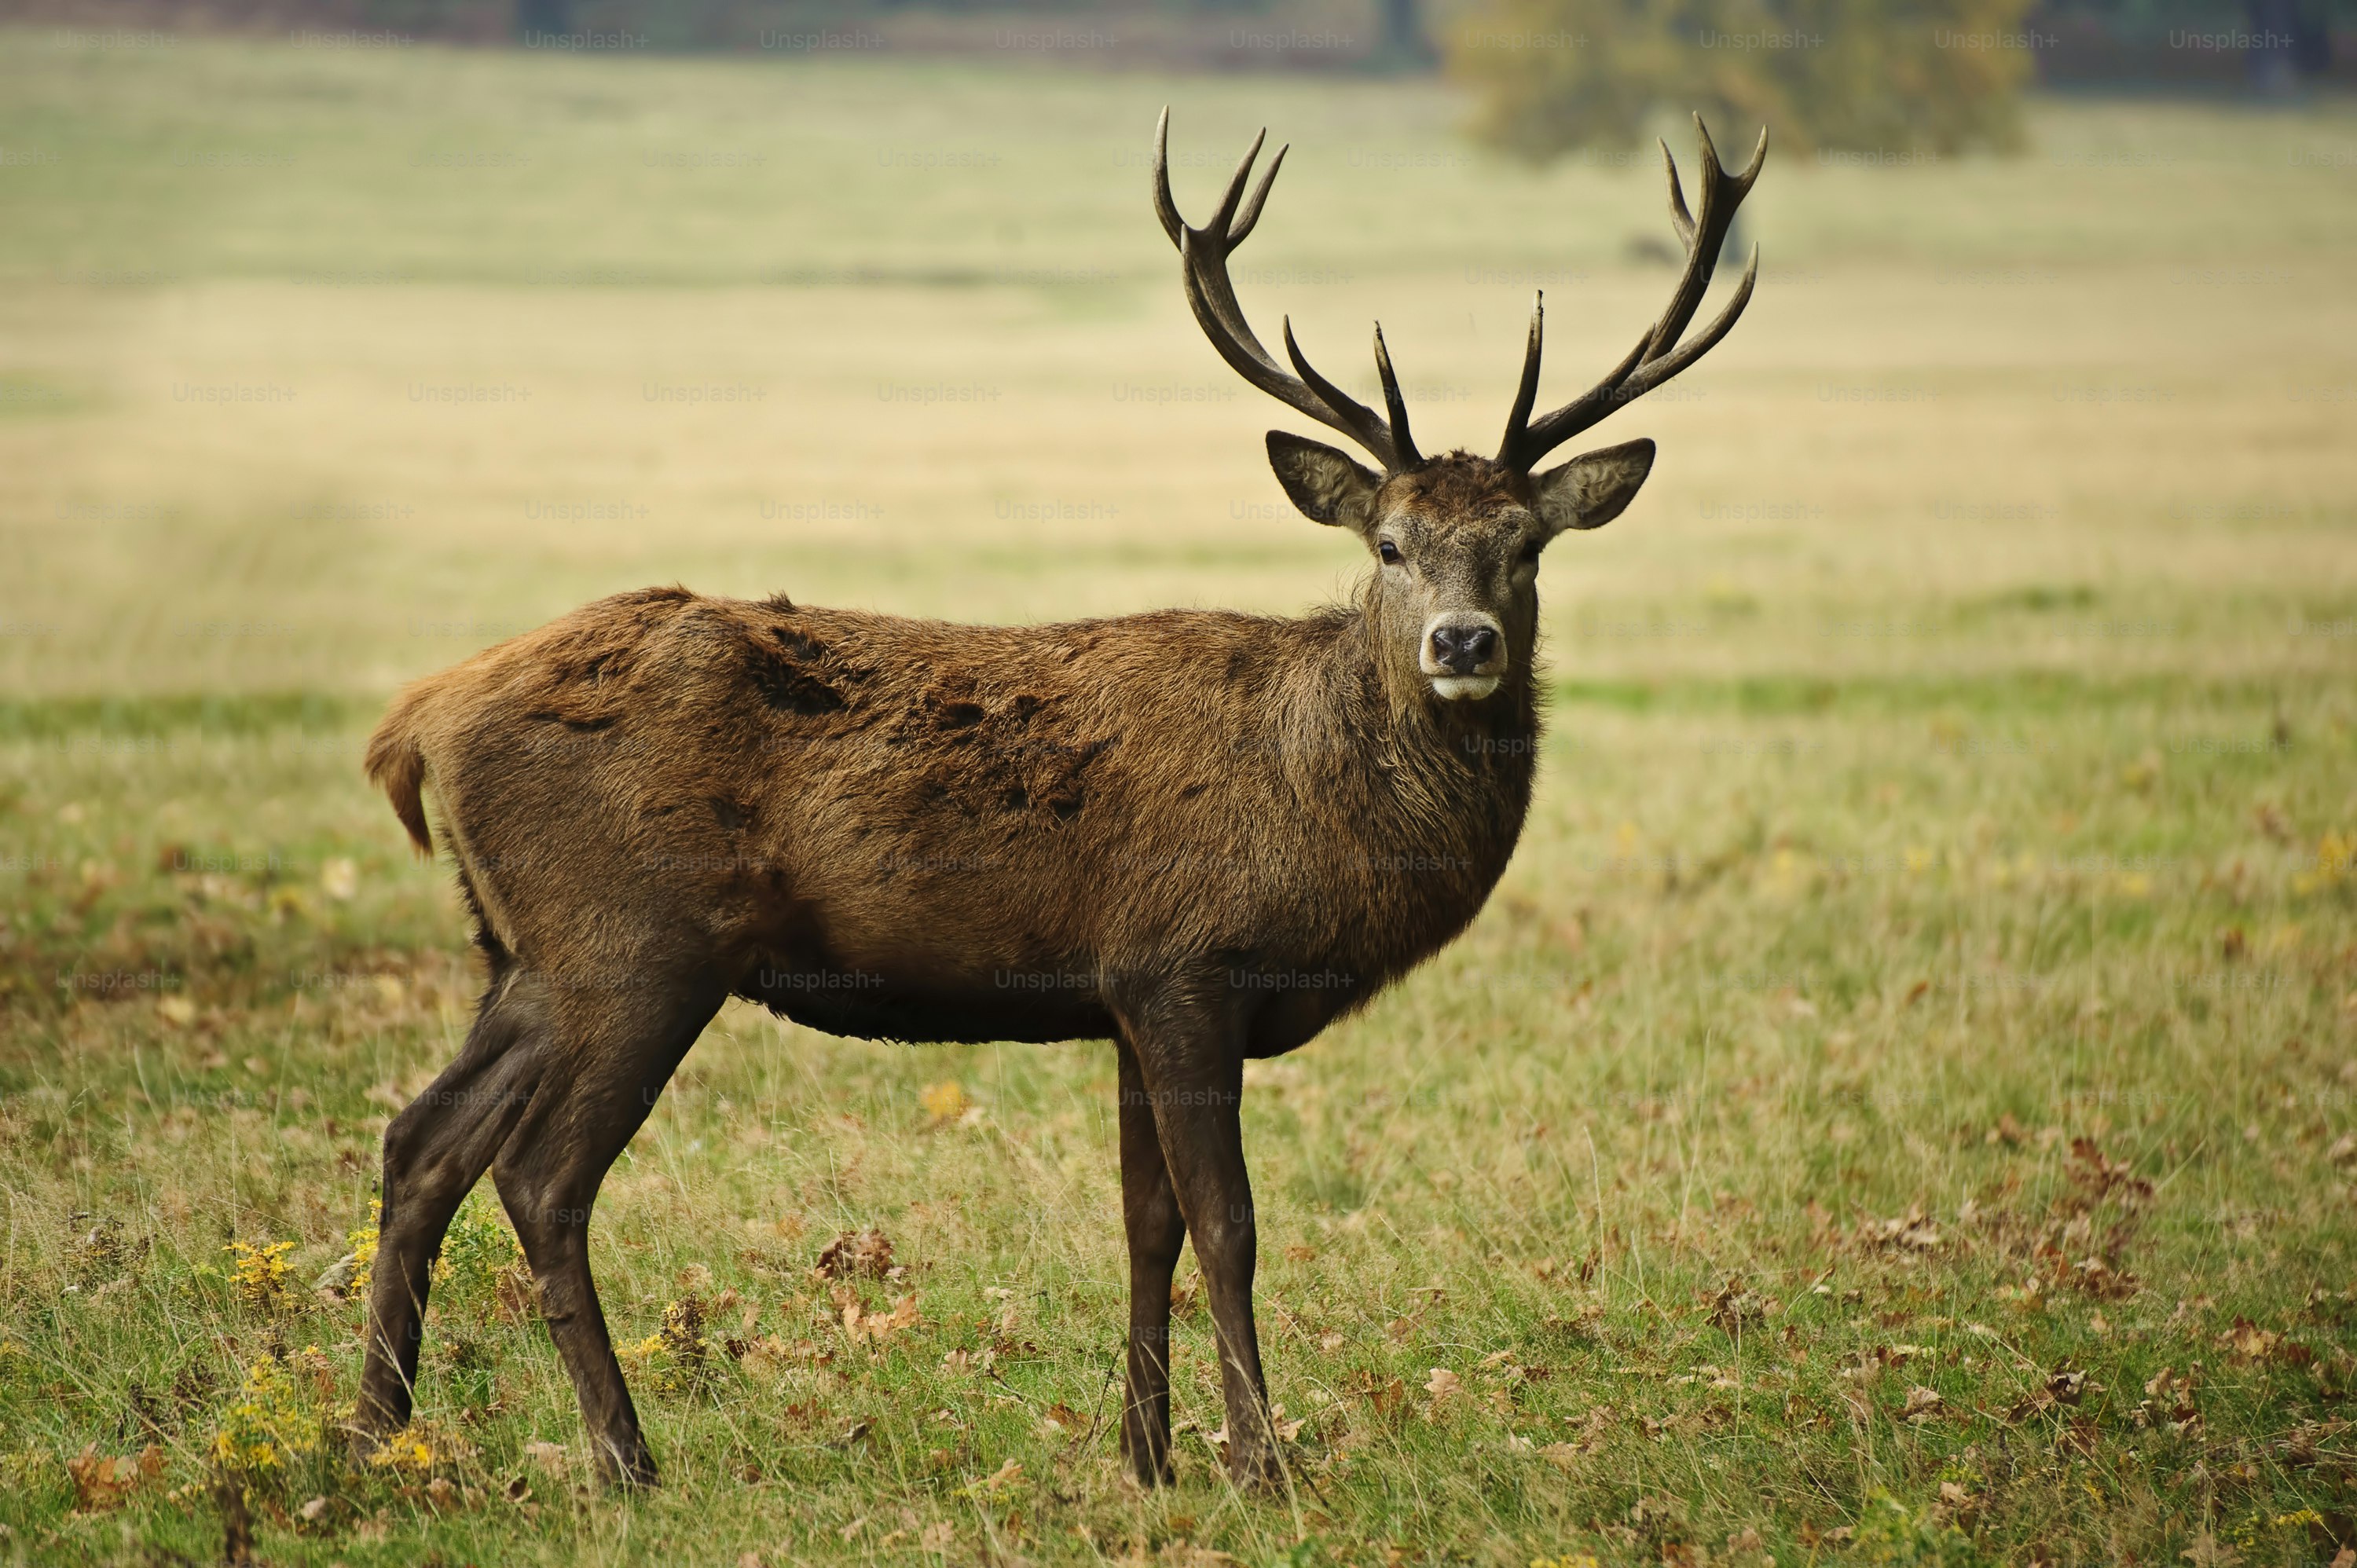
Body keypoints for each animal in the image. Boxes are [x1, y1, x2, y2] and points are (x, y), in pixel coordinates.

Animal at [353, 108, 1765, 1492]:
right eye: (1389, 545)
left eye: (1527, 546)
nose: (1463, 643)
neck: (1314, 808)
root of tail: (419, 718)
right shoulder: (1188, 960)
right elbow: (1229, 1224)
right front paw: (1262, 1467)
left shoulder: (1124, 990)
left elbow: (1147, 1225)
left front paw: (1145, 1459)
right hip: (635, 940)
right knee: (541, 1176)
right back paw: (624, 1460)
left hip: (525, 952)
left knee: (422, 1141)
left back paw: (375, 1437)